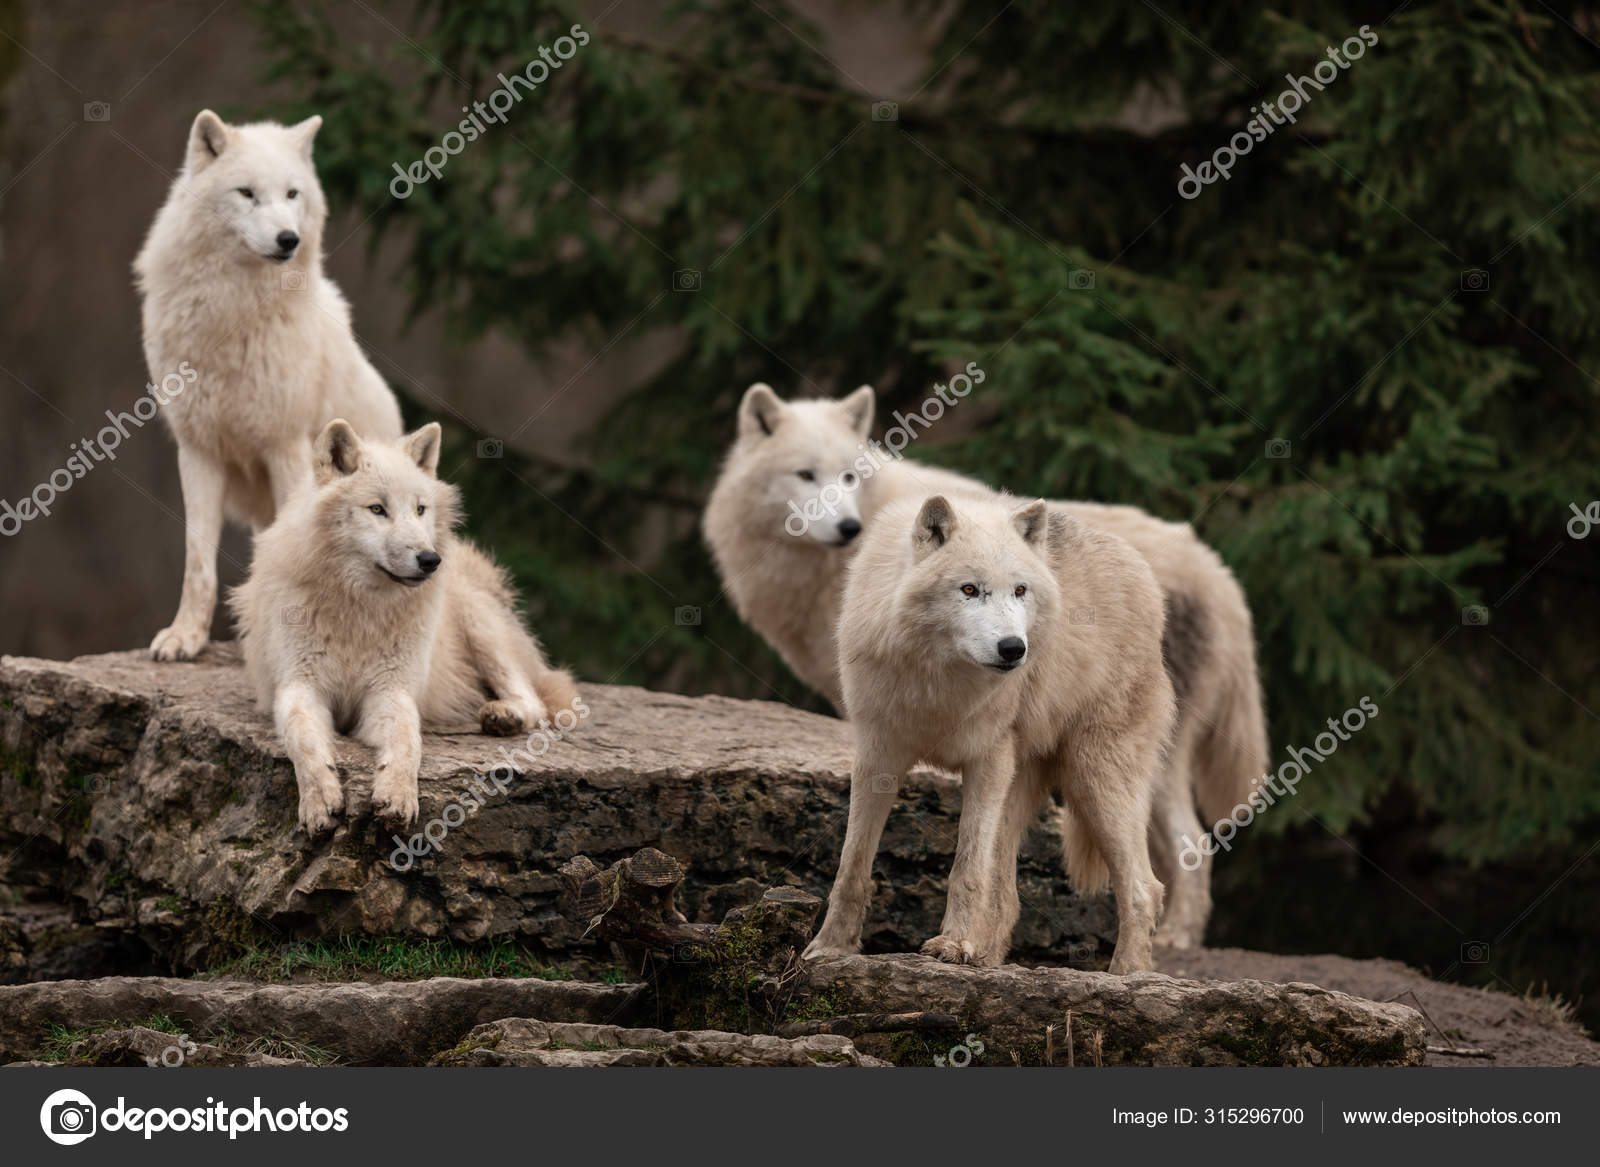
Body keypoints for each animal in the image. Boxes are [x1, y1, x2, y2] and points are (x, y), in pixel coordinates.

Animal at [136, 109, 403, 661]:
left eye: (292, 194)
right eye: (247, 193)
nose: (288, 239)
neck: (234, 313)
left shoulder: (285, 448)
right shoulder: (198, 451)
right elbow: (198, 561)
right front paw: (185, 637)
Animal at [229, 420, 579, 834]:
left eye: (420, 509)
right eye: (377, 509)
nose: (430, 559)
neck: (359, 609)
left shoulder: (391, 692)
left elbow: (407, 738)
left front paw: (398, 794)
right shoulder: (299, 687)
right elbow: (303, 740)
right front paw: (319, 800)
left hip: (480, 628)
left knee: (535, 701)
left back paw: (504, 716)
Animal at [803, 493, 1176, 973]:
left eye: (1019, 590)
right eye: (969, 590)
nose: (1014, 649)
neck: (941, 684)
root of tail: (1143, 570)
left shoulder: (987, 762)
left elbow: (966, 867)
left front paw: (952, 944)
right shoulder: (877, 755)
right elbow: (852, 864)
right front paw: (831, 947)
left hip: (1093, 779)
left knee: (1145, 888)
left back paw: (1126, 975)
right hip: (1029, 785)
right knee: (1009, 895)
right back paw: (988, 958)